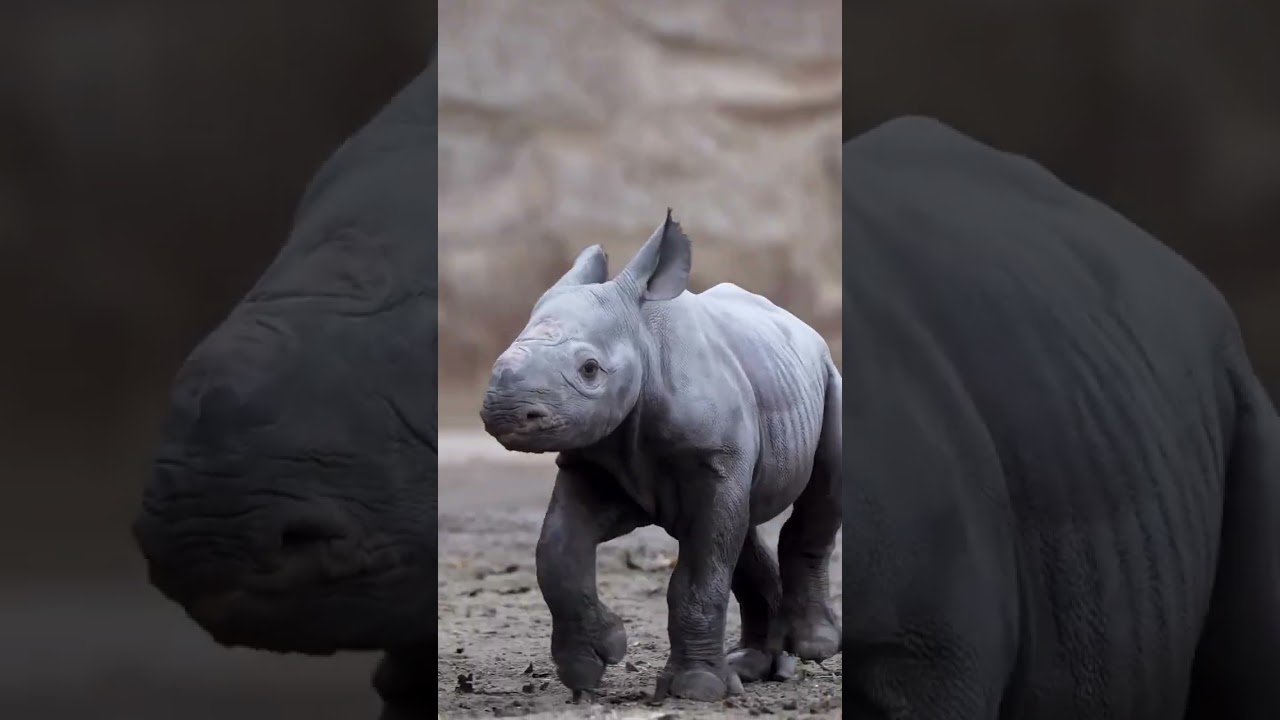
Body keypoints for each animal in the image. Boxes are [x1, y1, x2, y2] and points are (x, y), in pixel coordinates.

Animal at [478, 212, 843, 702]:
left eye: (589, 370)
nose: (504, 411)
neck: (643, 338)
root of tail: (804, 329)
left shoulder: (713, 458)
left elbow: (699, 576)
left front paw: (697, 688)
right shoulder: (594, 462)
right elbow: (556, 552)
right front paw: (593, 662)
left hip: (829, 378)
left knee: (815, 495)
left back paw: (812, 647)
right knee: (741, 528)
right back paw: (752, 666)